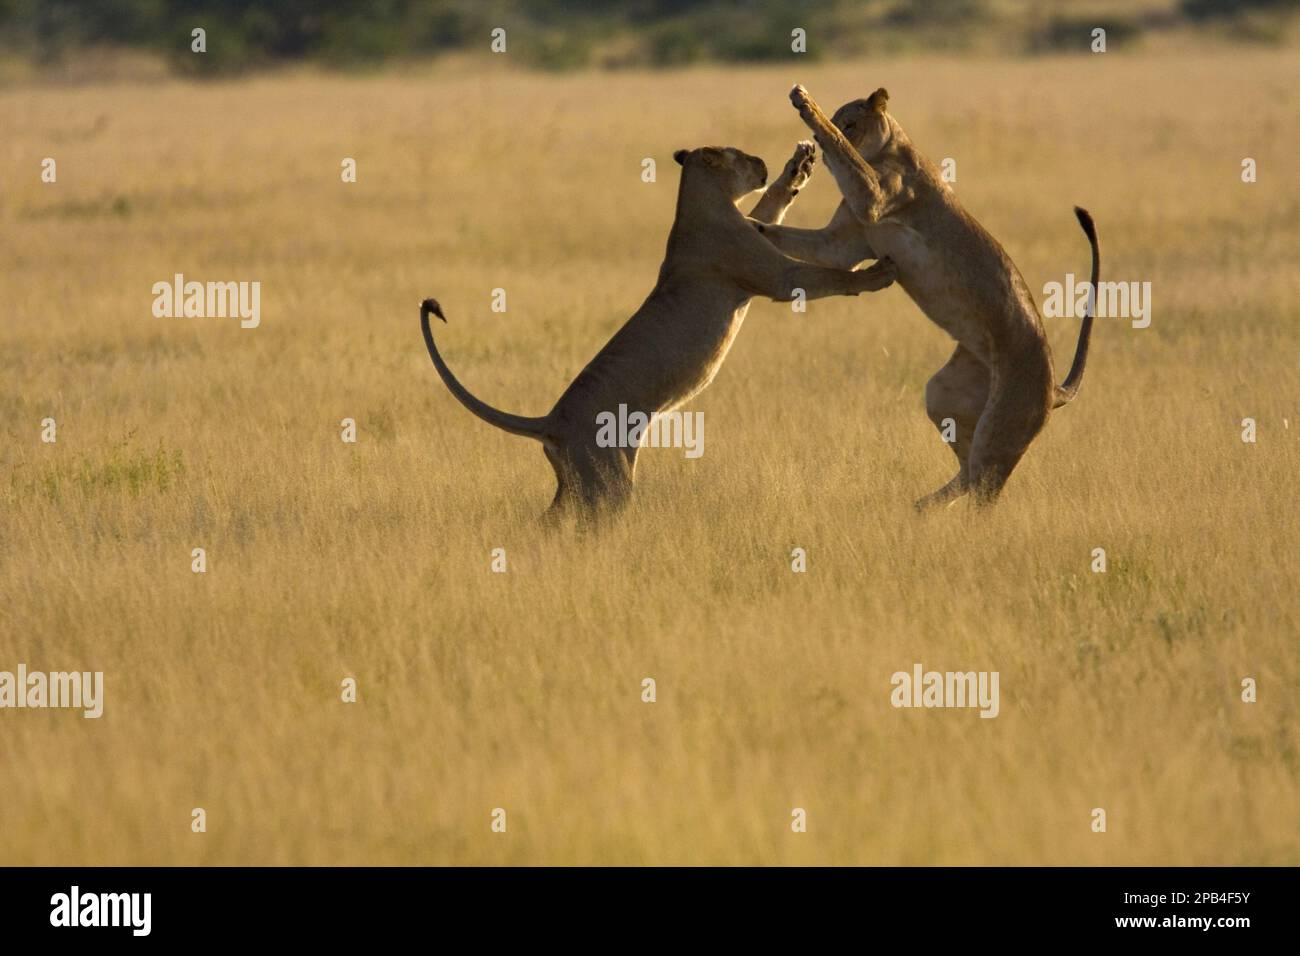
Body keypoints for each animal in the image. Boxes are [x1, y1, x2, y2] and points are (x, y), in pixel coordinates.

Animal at [420, 143, 897, 523]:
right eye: (739, 154)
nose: (761, 161)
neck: (703, 203)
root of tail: (551, 420)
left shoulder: (757, 228)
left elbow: (772, 205)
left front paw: (801, 165)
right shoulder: (776, 275)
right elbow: (826, 276)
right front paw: (878, 273)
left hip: (577, 482)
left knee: (549, 522)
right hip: (606, 481)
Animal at [754, 85, 1099, 508]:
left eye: (849, 122)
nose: (815, 143)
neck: (887, 148)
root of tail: (1054, 389)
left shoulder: (874, 196)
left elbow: (846, 156)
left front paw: (806, 103)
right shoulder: (841, 244)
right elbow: (786, 236)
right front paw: (750, 223)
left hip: (1001, 425)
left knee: (983, 485)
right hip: (943, 392)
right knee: (967, 472)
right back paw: (922, 508)